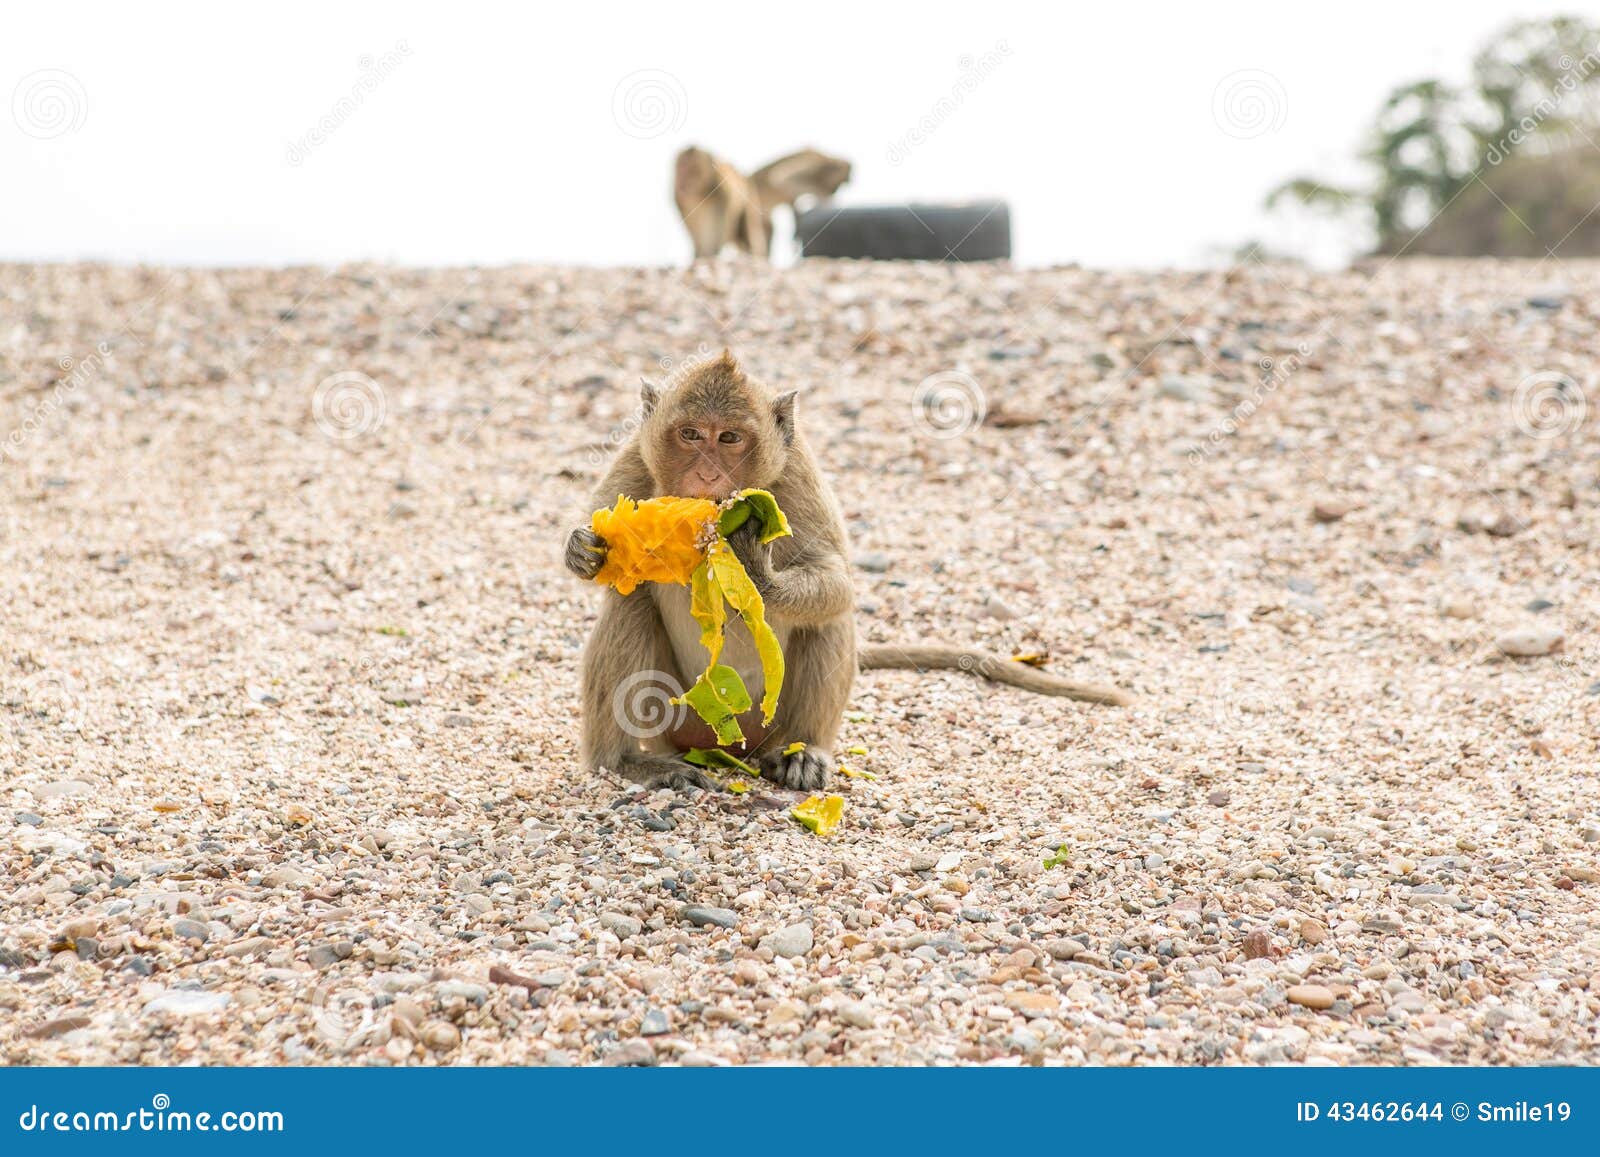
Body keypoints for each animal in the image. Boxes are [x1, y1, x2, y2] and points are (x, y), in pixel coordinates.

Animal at [564, 351, 1130, 793]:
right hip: (677, 718)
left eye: (728, 438)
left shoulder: (796, 473)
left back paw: (802, 752)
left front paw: (755, 571)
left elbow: (835, 581)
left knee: (829, 620)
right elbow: (606, 563)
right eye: (688, 434)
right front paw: (583, 550)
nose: (706, 475)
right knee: (629, 607)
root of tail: (730, 746)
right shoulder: (633, 462)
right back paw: (628, 763)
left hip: (763, 724)